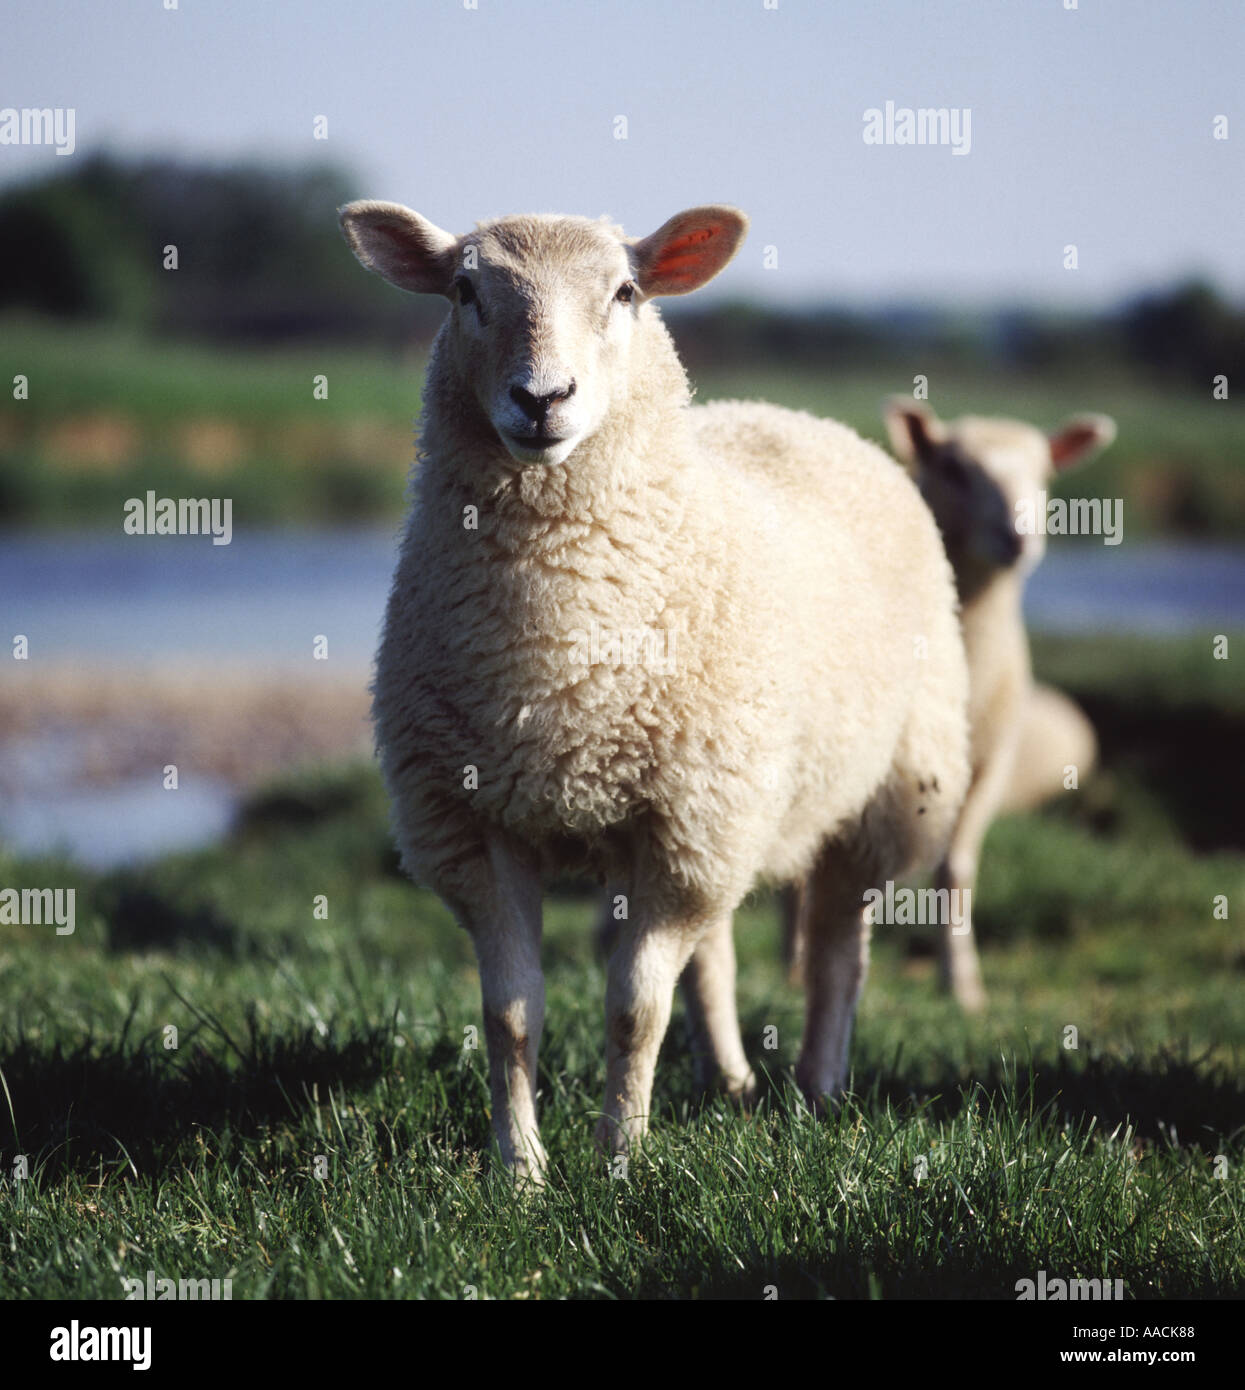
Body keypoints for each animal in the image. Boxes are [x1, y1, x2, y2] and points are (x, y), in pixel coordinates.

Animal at [337, 201, 972, 1178]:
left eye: (626, 292)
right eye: (464, 291)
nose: (541, 399)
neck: (555, 660)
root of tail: (789, 413)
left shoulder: (681, 820)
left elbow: (635, 1009)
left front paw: (618, 1162)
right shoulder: (478, 824)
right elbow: (509, 1013)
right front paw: (519, 1171)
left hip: (880, 792)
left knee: (837, 949)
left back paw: (819, 1089)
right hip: (724, 807)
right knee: (714, 953)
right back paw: (730, 1080)